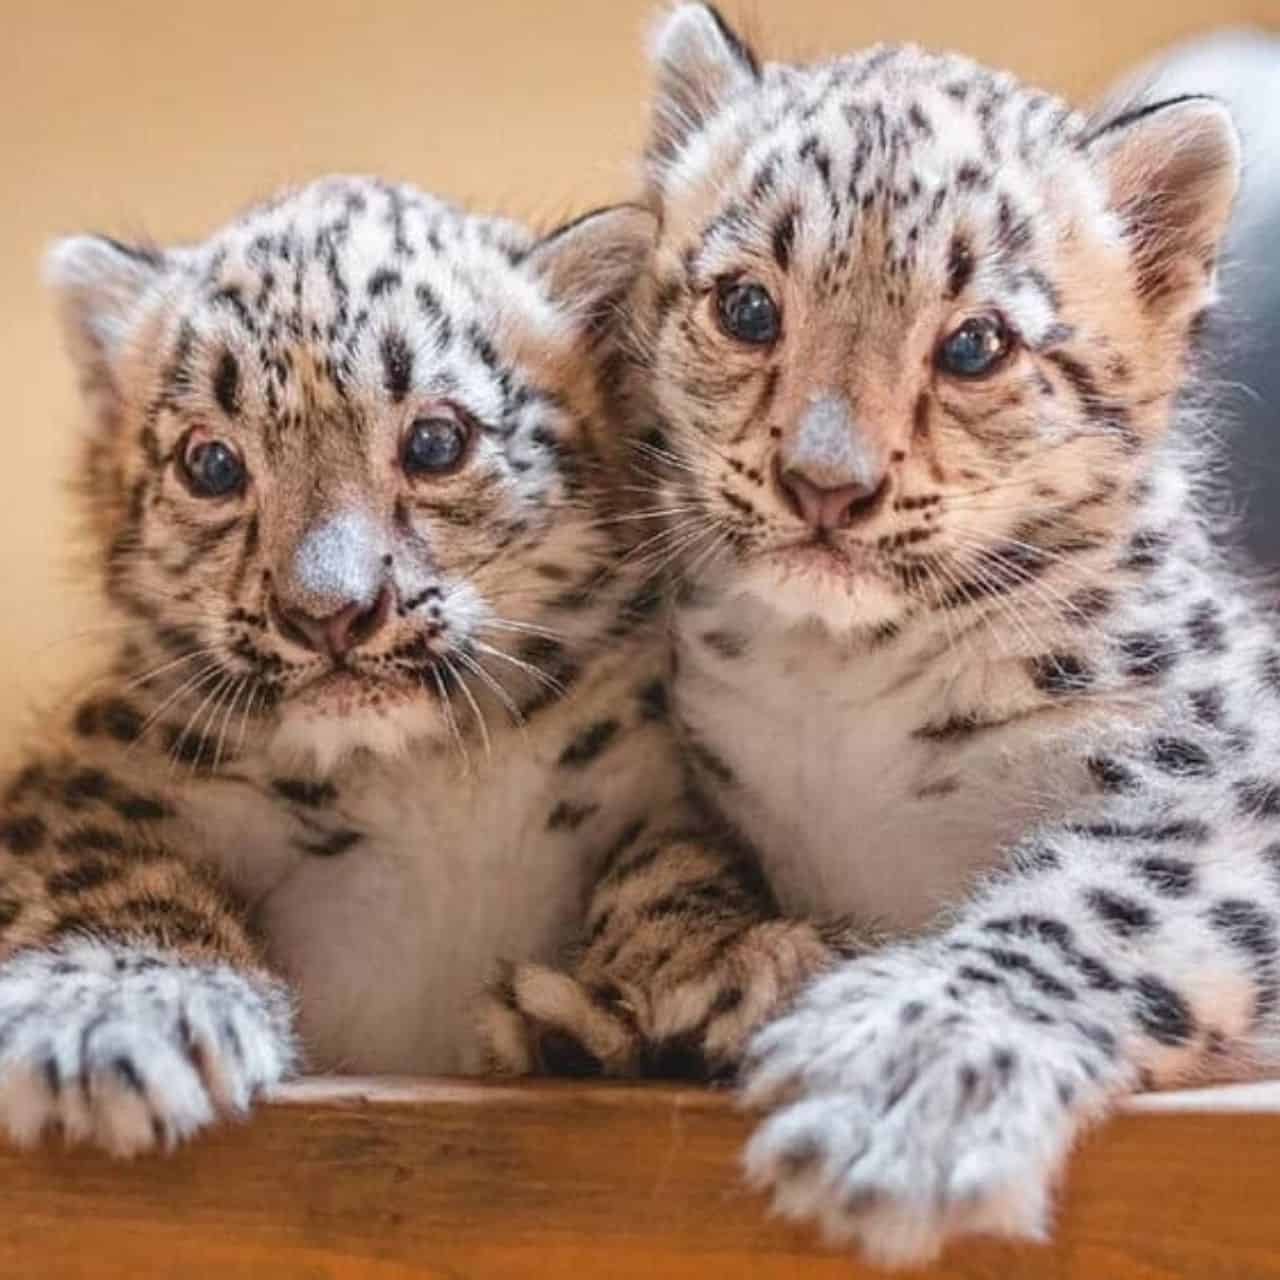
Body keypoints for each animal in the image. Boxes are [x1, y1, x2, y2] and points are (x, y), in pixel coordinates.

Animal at [0, 172, 689, 1155]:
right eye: (211, 463)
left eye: (436, 442)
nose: (327, 613)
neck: (424, 784)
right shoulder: (95, 768)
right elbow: (91, 862)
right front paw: (112, 1023)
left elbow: (685, 854)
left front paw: (692, 977)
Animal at [485, 4, 1280, 1266]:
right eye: (745, 306)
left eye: (975, 345)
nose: (825, 484)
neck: (837, 673)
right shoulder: (684, 771)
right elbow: (660, 852)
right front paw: (681, 966)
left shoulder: (1208, 790)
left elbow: (1091, 900)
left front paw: (907, 1077)